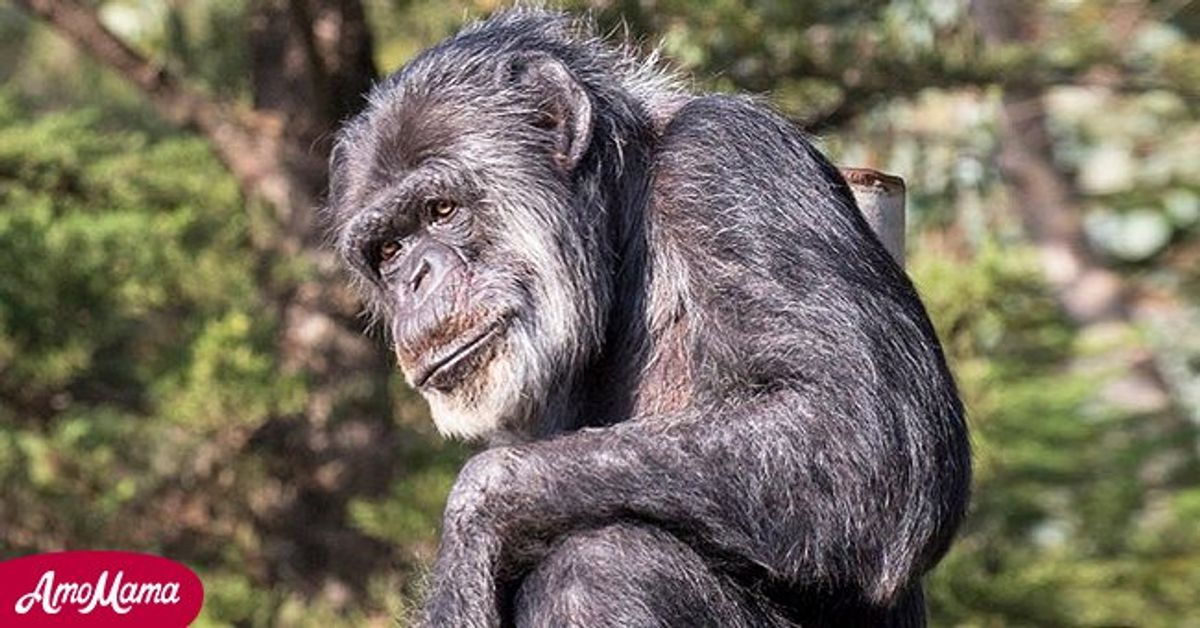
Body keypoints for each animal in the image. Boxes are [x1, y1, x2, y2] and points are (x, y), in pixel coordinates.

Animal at [326, 9, 970, 627]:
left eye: (441, 209)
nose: (415, 278)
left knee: (605, 566)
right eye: (388, 250)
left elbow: (861, 430)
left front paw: (467, 532)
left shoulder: (731, 161)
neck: (622, 230)